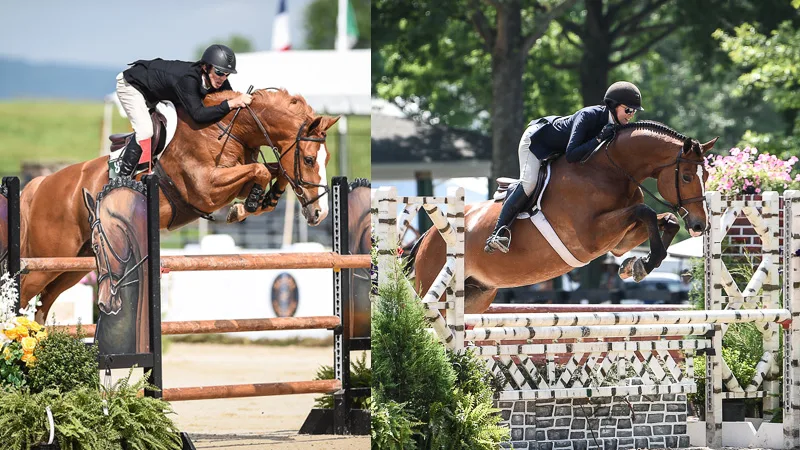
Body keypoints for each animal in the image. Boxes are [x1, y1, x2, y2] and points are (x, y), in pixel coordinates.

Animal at [16, 88, 339, 323]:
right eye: (309, 159)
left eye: (326, 160)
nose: (319, 213)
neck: (228, 129)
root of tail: (38, 186)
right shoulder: (206, 189)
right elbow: (261, 171)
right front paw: (245, 207)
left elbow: (273, 171)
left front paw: (258, 202)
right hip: (49, 259)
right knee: (23, 294)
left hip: (75, 264)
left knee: (41, 306)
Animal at [408, 121, 718, 314]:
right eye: (687, 176)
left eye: (707, 175)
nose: (699, 225)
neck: (610, 169)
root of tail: (429, 235)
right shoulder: (590, 238)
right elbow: (647, 211)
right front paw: (642, 264)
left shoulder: (618, 241)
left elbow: (664, 220)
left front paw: (637, 264)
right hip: (438, 287)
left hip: (477, 294)